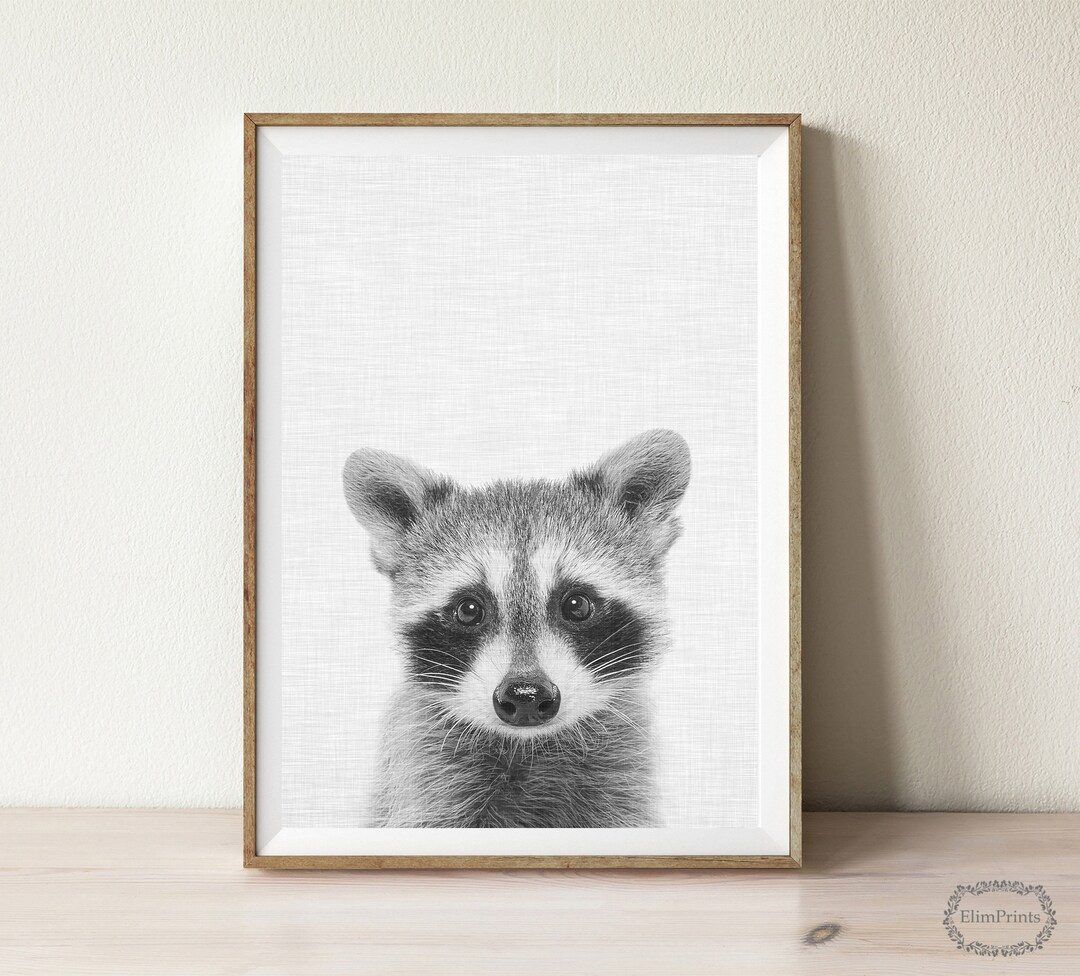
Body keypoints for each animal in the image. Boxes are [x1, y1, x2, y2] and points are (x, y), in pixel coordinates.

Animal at [342, 429, 691, 828]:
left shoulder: (622, 780)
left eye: (577, 605)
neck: (528, 745)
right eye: (468, 610)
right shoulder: (428, 777)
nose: (526, 695)